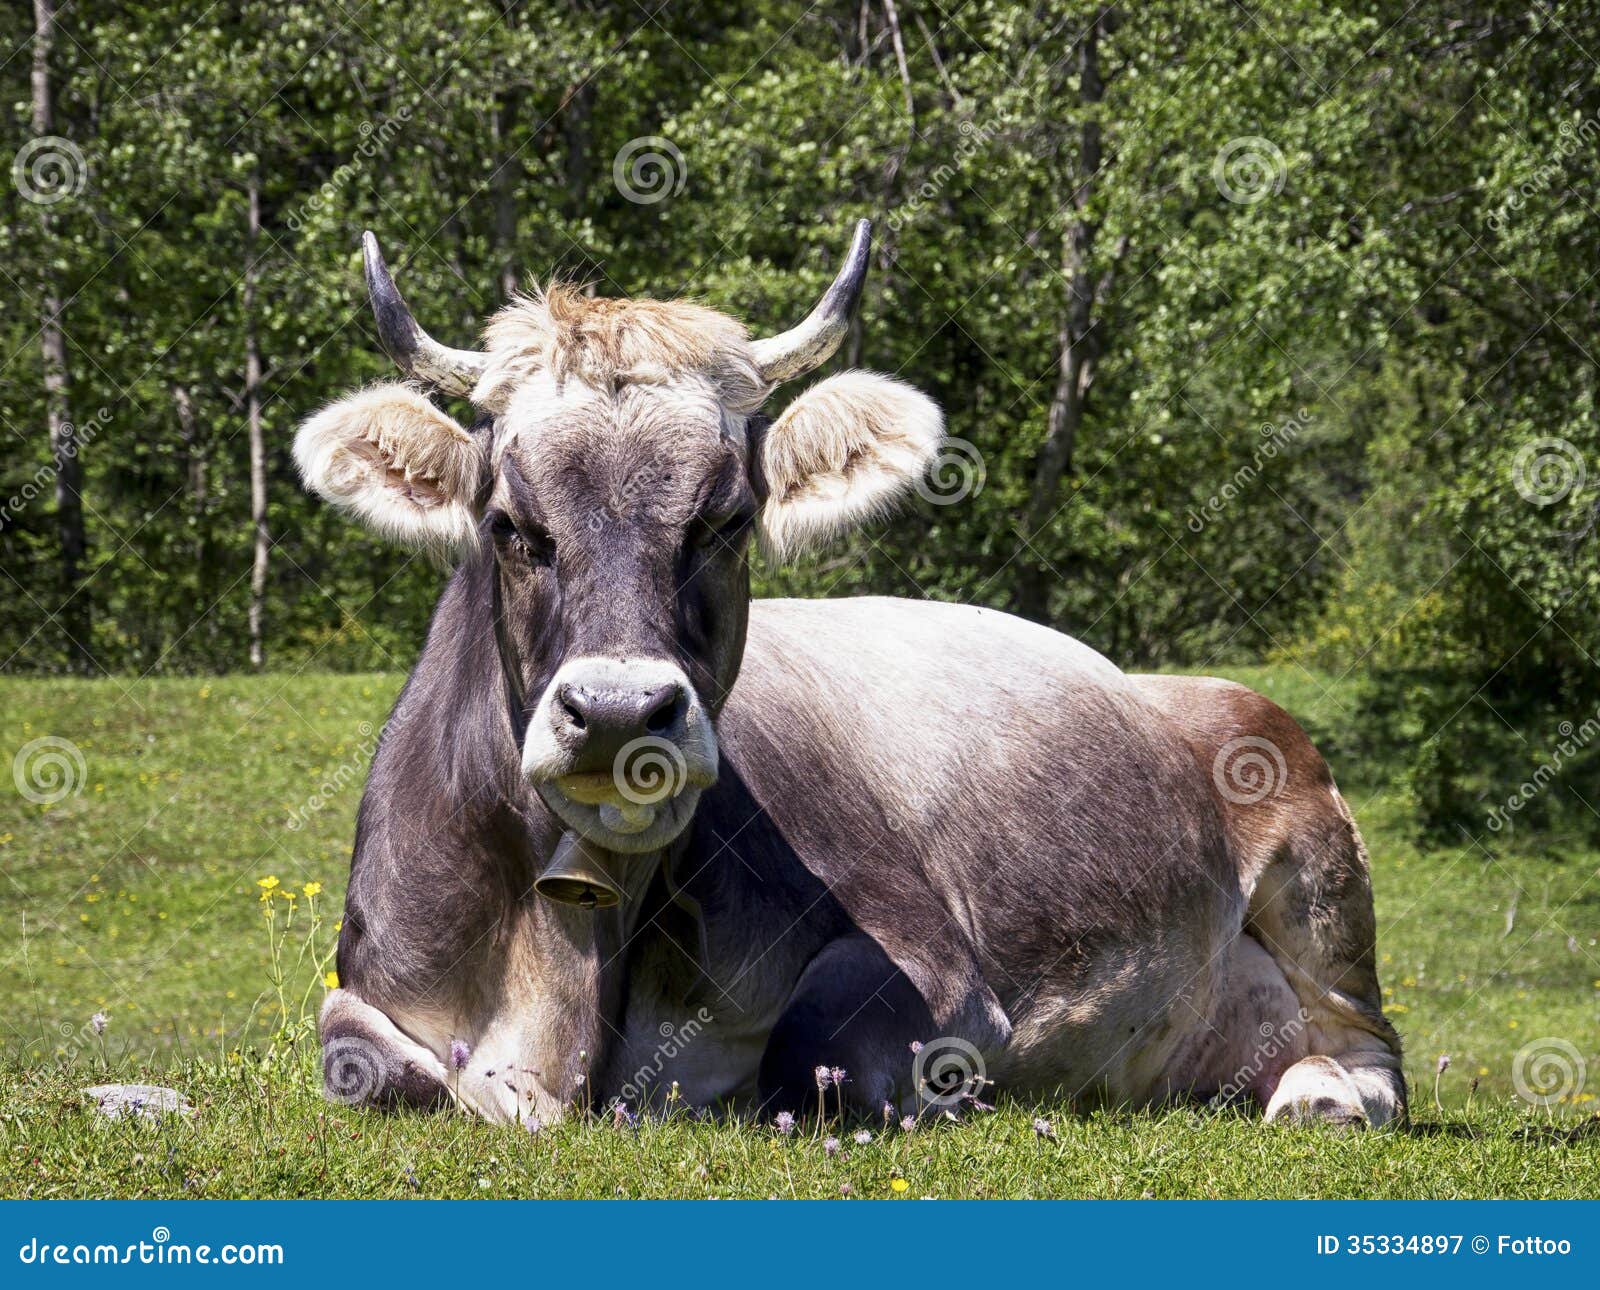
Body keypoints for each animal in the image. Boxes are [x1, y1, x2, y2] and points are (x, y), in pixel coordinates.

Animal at [296, 221, 1405, 1129]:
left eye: (727, 522)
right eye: (510, 527)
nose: (617, 712)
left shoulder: (932, 963)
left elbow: (807, 1064)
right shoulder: (369, 983)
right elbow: (359, 1065)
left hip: (1315, 859)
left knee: (1369, 1047)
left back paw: (1322, 1095)